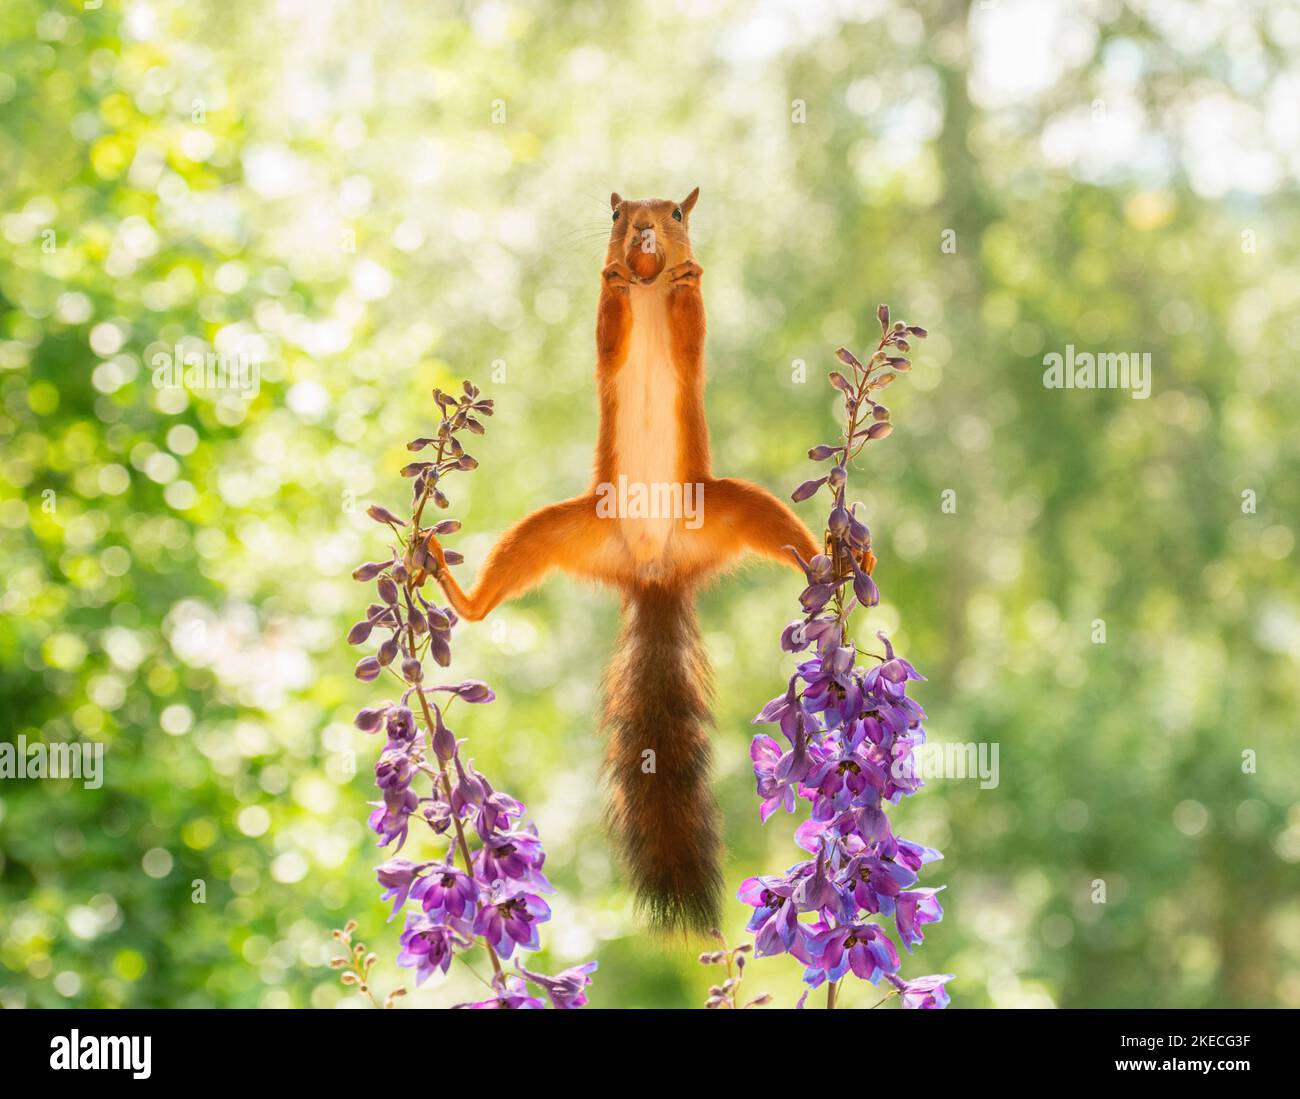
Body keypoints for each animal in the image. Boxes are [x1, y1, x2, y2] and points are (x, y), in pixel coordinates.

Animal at [420, 188, 864, 932]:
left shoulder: (691, 341)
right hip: (561, 530)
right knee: (493, 592)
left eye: (676, 213)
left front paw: (689, 280)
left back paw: (840, 554)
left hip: (739, 510)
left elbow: (691, 334)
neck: (651, 291)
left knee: (798, 544)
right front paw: (613, 282)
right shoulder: (606, 342)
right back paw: (455, 587)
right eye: (618, 214)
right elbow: (607, 334)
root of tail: (656, 572)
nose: (646, 229)